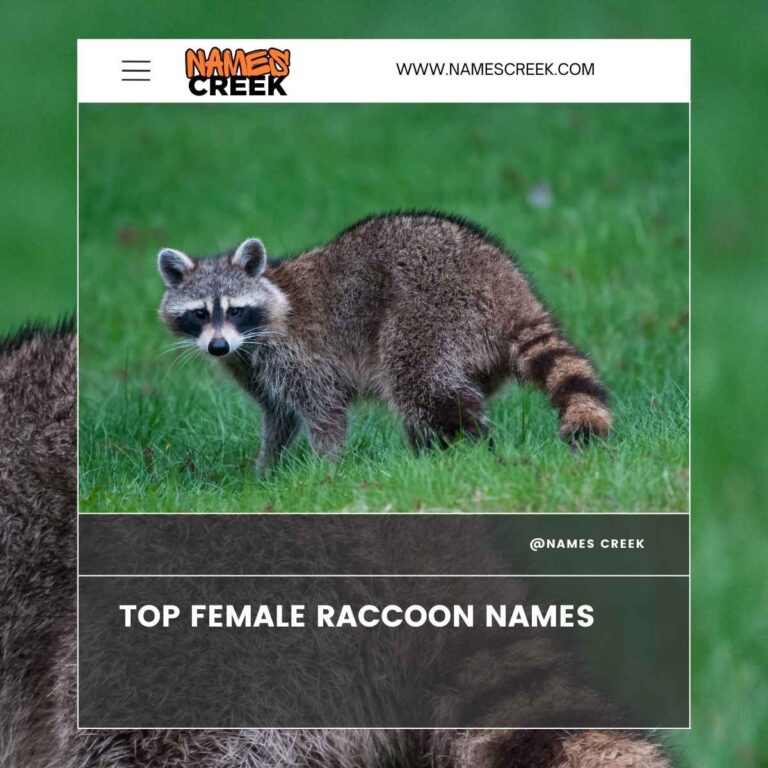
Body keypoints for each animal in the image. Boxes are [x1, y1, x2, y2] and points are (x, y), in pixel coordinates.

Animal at [157, 212, 612, 469]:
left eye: (235, 310)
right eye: (199, 314)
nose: (217, 348)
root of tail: (508, 287)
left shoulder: (299, 354)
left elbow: (325, 411)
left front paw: (326, 472)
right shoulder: (254, 366)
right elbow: (279, 417)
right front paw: (266, 470)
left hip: (432, 312)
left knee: (423, 387)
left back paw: (465, 452)